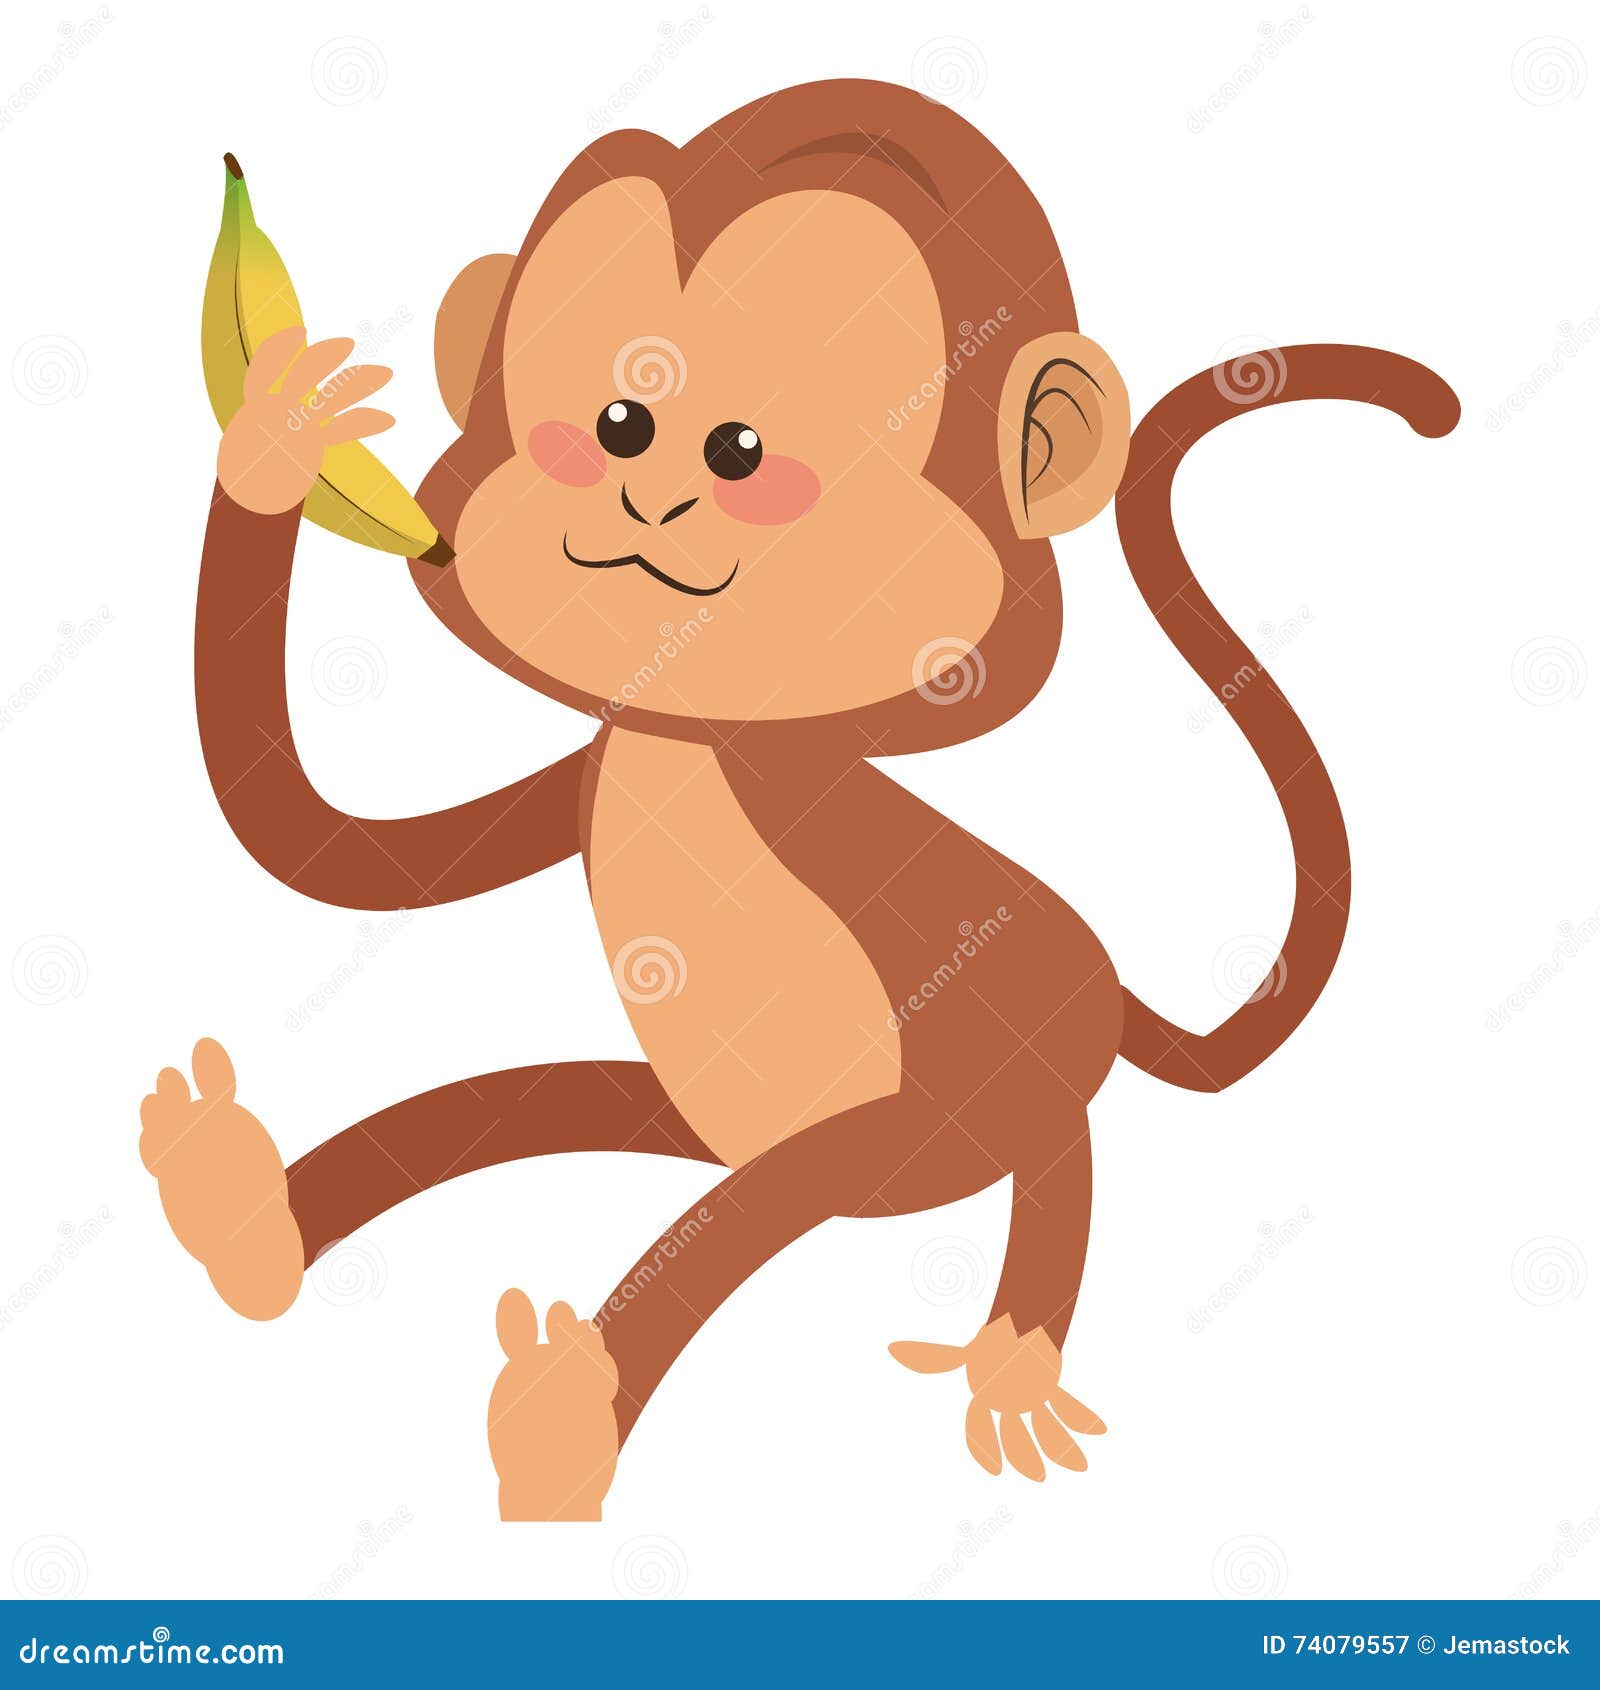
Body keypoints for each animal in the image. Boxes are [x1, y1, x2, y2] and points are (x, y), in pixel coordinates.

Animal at [139, 78, 1458, 1519]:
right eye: (616, 421)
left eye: (738, 449)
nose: (646, 496)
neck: (690, 740)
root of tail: (1104, 985)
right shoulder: (583, 774)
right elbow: (325, 847)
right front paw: (280, 437)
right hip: (689, 1106)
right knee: (550, 1102)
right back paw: (243, 1214)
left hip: (954, 1109)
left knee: (962, 1170)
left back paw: (627, 1408)